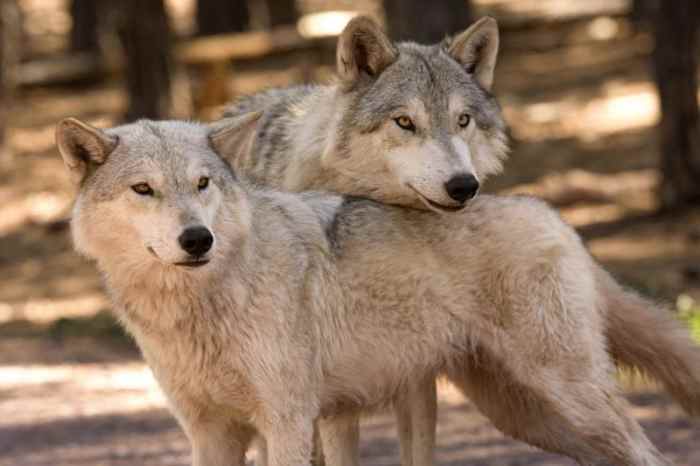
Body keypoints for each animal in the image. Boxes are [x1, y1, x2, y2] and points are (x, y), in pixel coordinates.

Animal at [57, 116, 698, 466]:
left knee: (650, 454)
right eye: (144, 189)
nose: (197, 239)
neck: (200, 303)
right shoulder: (210, 432)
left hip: (567, 397)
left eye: (203, 184)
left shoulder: (288, 421)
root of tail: (555, 219)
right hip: (529, 417)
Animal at [222, 15, 700, 466]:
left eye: (463, 121)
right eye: (405, 122)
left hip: (546, 400)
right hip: (526, 412)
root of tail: (561, 223)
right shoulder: (336, 403)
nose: (463, 186)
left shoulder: (411, 380)